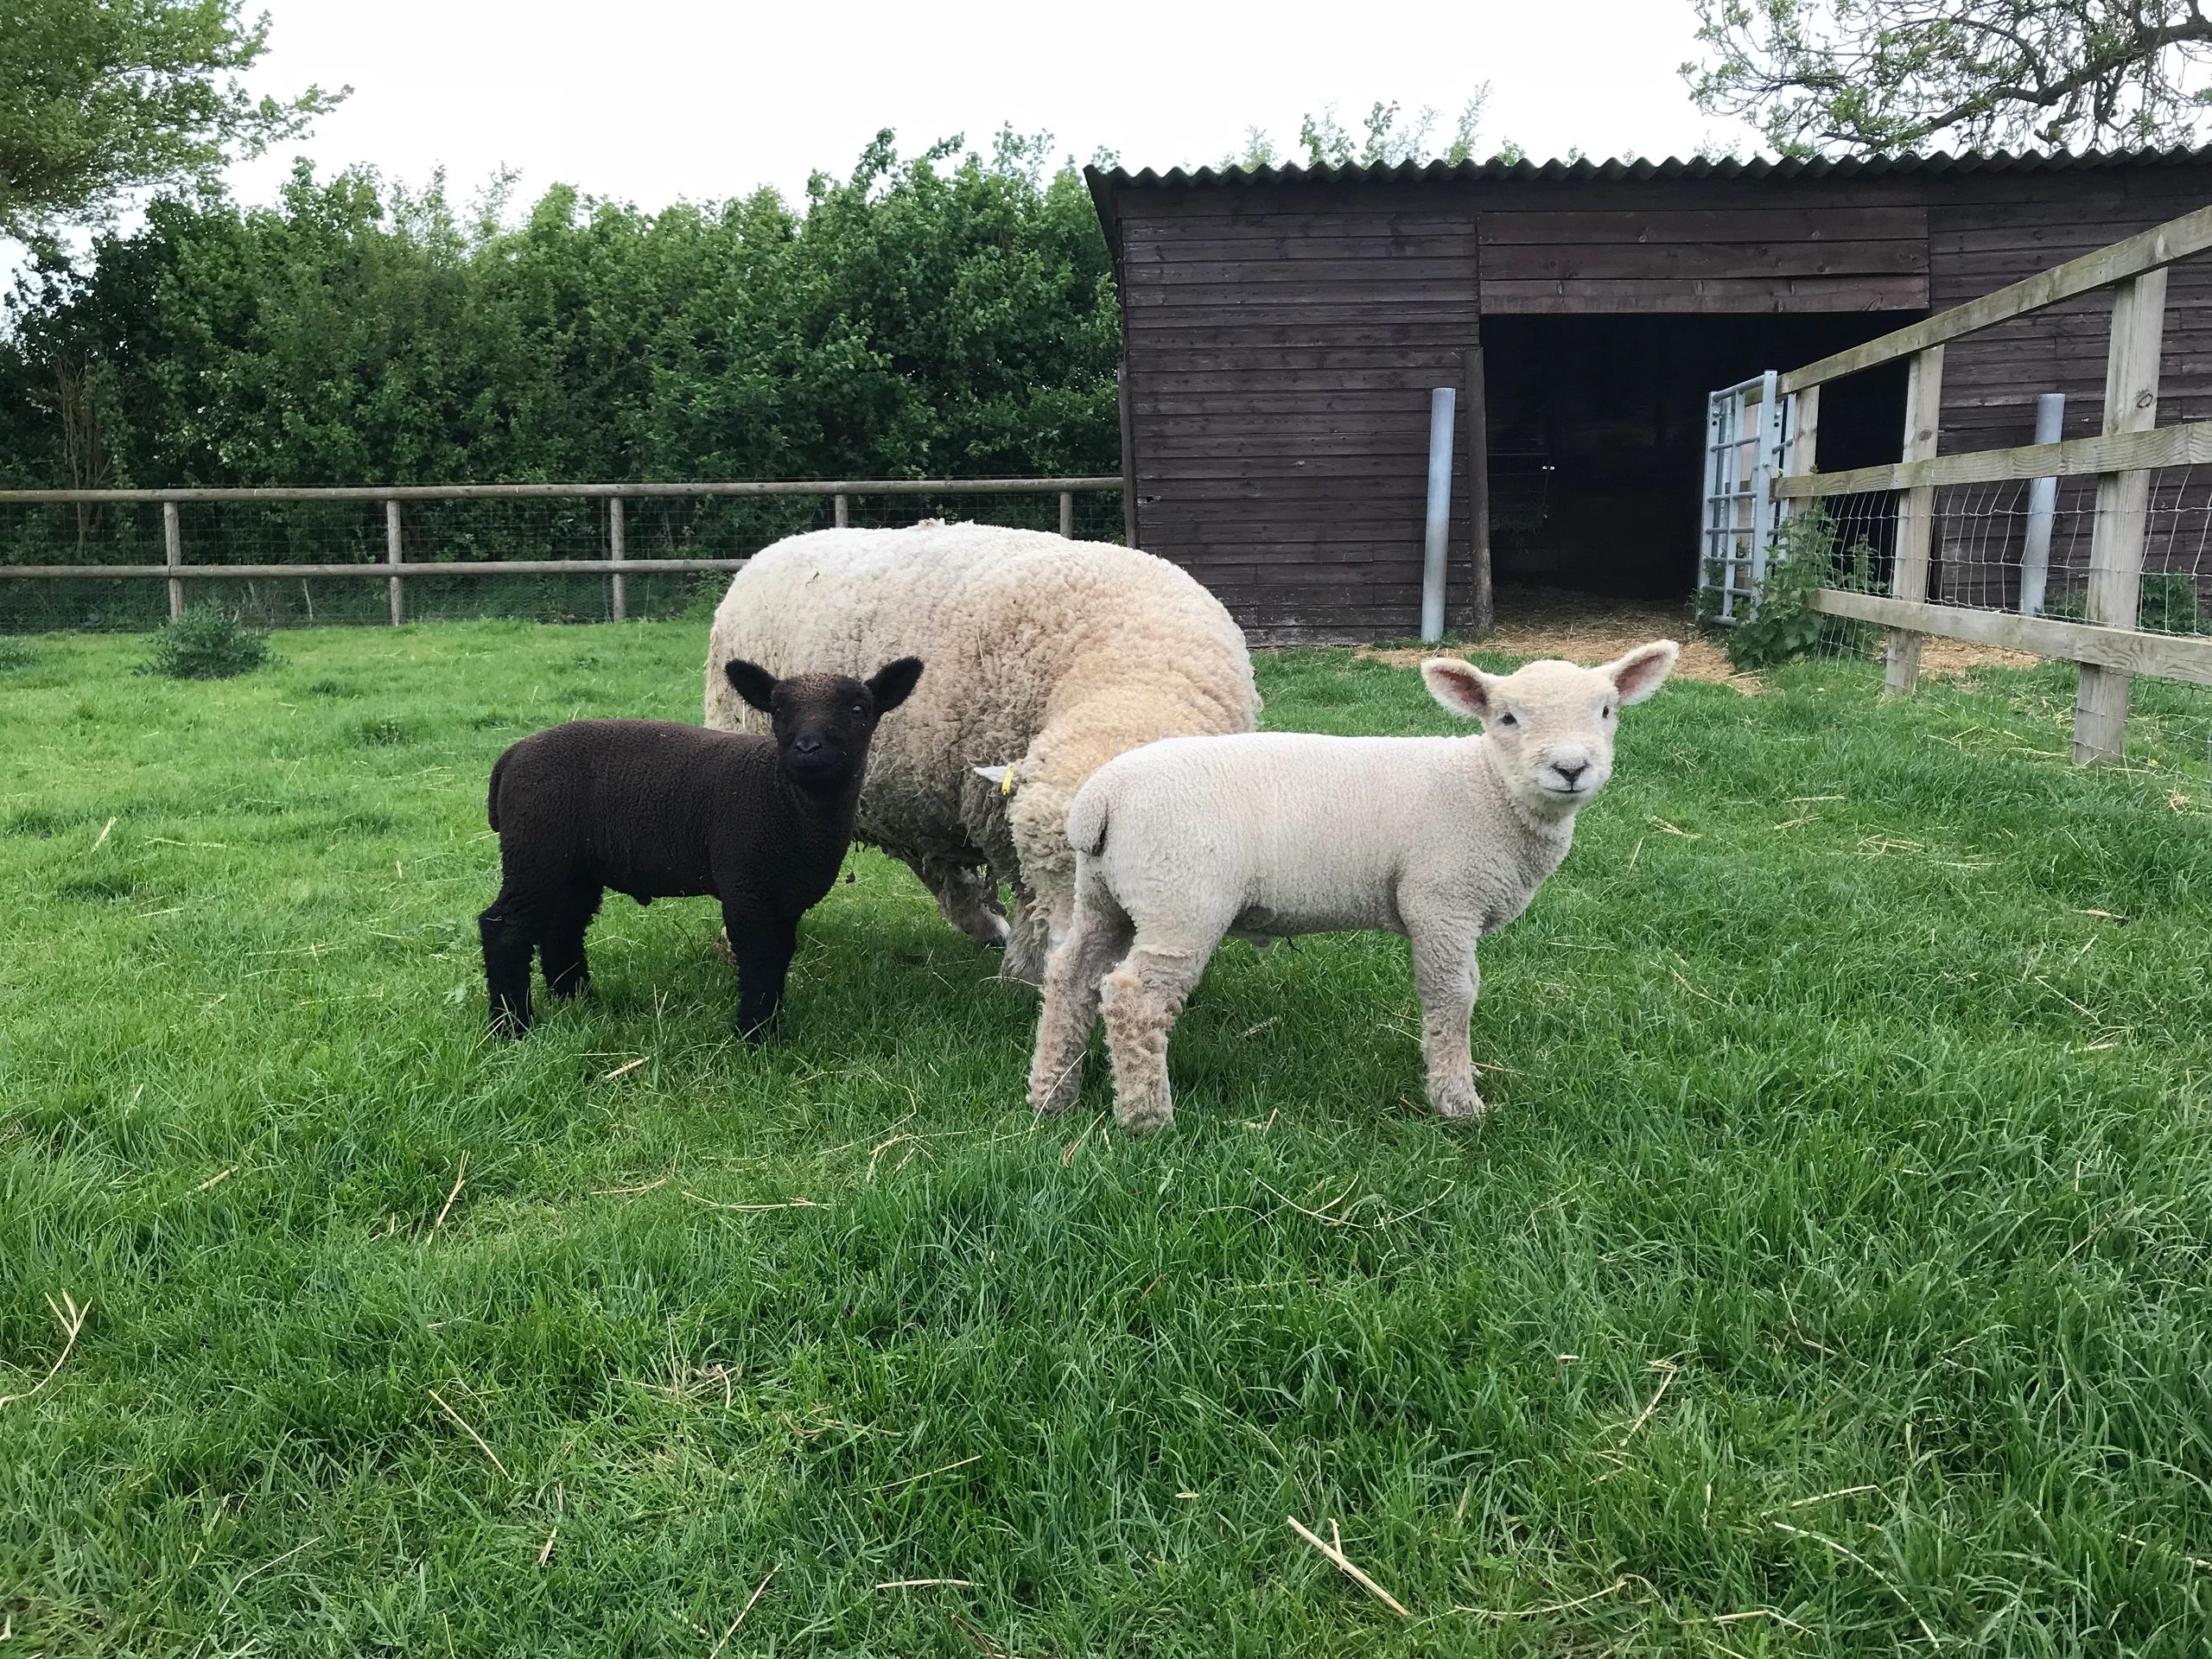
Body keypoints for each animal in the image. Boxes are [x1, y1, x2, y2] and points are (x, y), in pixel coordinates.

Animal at [480, 656, 923, 1039]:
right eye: (778, 710)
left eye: (858, 709)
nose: (808, 748)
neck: (785, 799)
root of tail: (511, 756)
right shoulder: (744, 882)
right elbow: (759, 956)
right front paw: (754, 1035)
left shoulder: (785, 897)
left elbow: (780, 956)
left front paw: (770, 1023)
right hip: (535, 849)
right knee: (502, 928)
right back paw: (512, 1026)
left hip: (576, 865)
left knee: (562, 927)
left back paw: (578, 1001)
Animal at [703, 522, 1258, 987]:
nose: (1068, 967)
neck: (1134, 676)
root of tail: (771, 550)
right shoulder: (1000, 821)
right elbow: (1029, 899)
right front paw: (1027, 974)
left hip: (916, 790)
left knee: (934, 865)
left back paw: (987, 927)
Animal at [1025, 642, 1680, 1132]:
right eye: (1508, 718)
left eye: (1607, 711)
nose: (1571, 769)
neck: (1488, 788)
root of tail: (1101, 798)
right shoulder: (1441, 902)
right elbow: (1453, 997)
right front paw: (1457, 1102)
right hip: (1181, 900)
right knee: (1133, 1000)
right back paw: (1147, 1118)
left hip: (1105, 896)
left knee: (1070, 976)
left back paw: (1051, 1092)